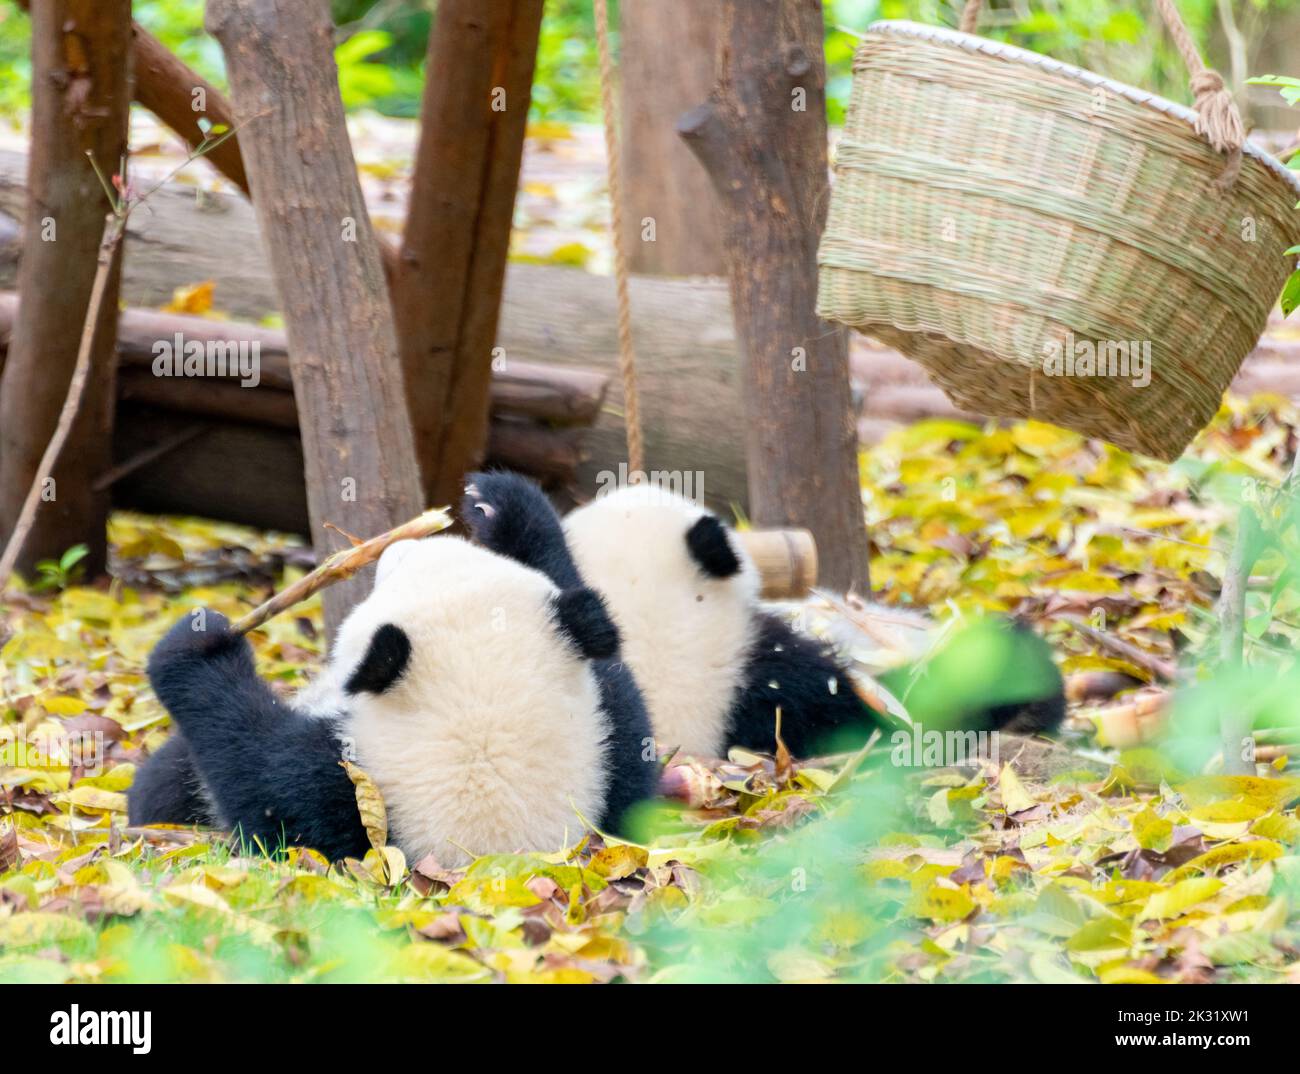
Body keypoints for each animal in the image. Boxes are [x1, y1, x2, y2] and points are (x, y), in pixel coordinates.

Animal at [128, 535, 659, 865]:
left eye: (404, 568)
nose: (397, 543)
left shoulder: (351, 801)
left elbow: (252, 775)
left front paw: (196, 645)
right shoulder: (615, 756)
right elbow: (620, 685)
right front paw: (506, 504)